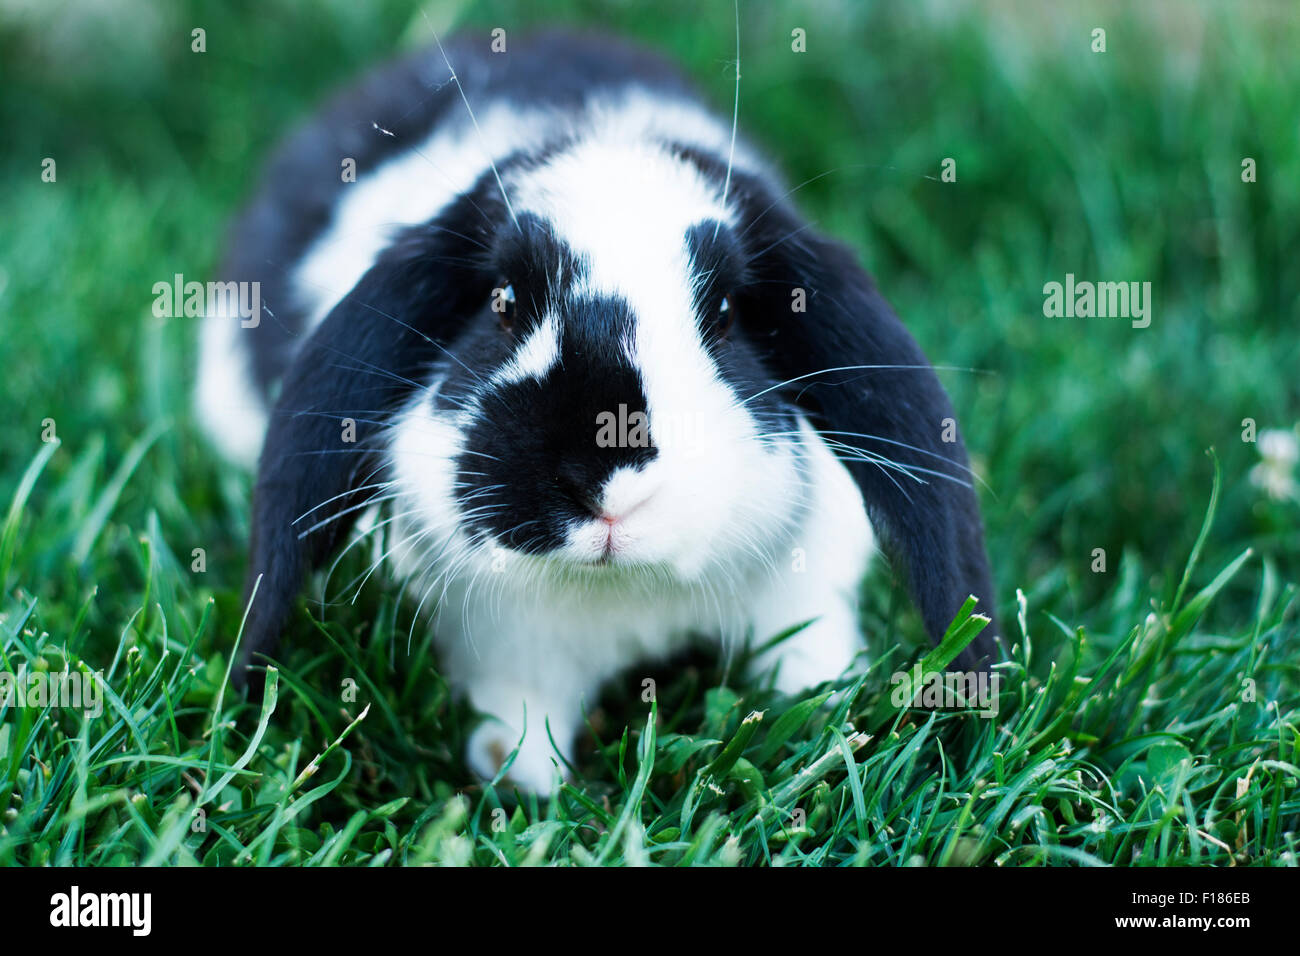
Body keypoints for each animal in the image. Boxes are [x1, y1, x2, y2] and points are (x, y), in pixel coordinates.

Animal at [195, 29, 1000, 793]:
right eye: (502, 302)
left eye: (726, 313)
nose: (608, 482)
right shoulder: (507, 648)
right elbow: (520, 710)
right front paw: (520, 778)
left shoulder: (808, 583)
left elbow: (810, 654)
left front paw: (830, 713)